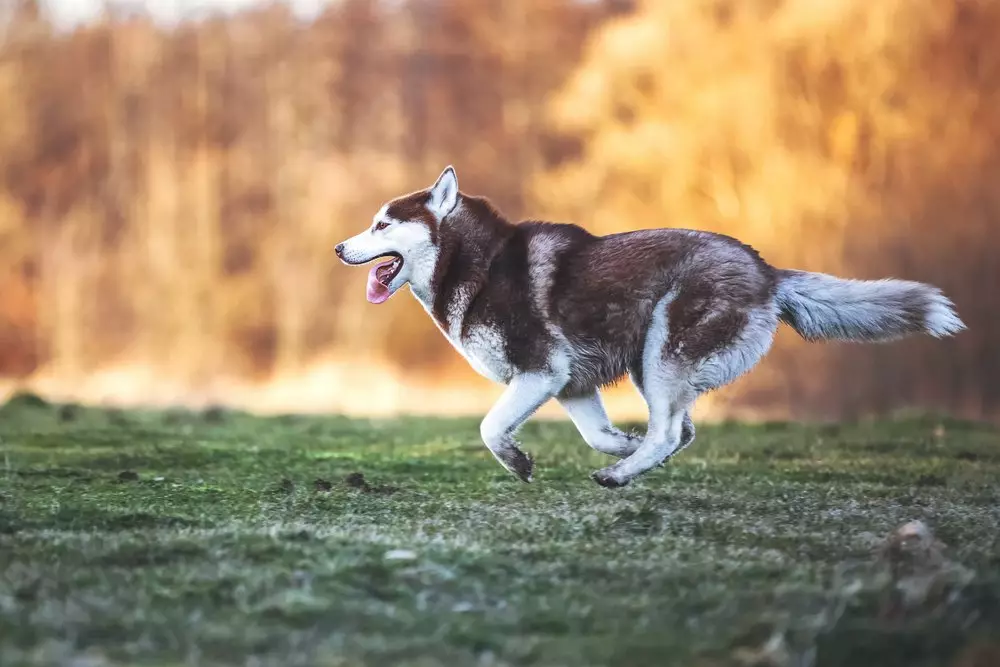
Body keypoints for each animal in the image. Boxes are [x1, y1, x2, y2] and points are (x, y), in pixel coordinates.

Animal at [338, 167, 968, 488]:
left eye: (383, 225)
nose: (340, 247)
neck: (476, 264)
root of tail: (767, 270)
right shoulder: (570, 383)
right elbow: (596, 433)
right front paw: (621, 442)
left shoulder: (540, 373)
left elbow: (490, 427)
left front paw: (519, 462)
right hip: (651, 362)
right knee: (679, 431)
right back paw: (633, 461)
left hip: (663, 351)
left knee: (671, 430)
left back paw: (620, 476)